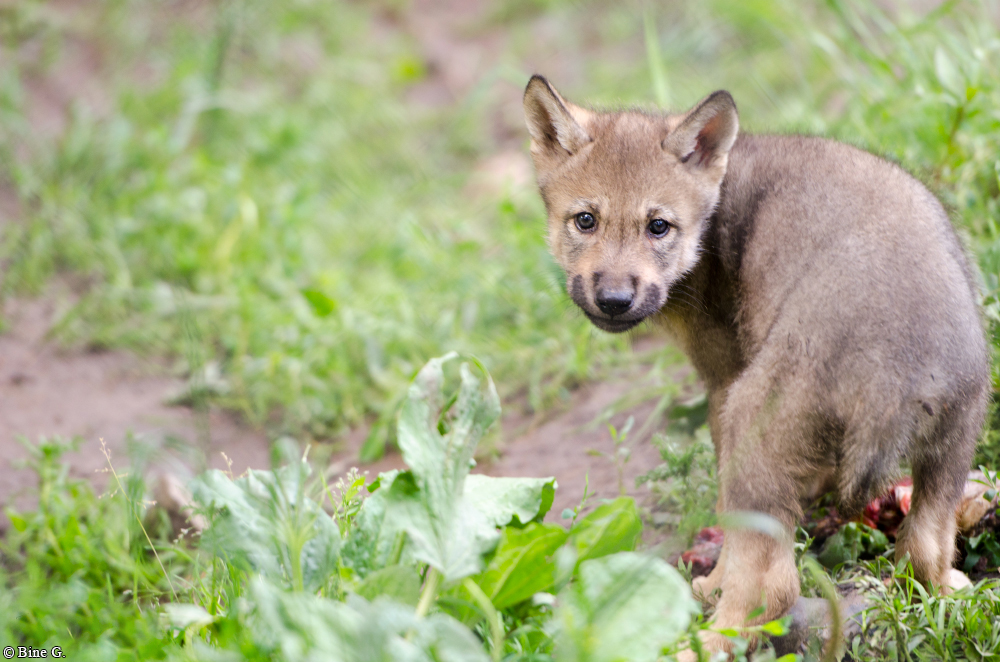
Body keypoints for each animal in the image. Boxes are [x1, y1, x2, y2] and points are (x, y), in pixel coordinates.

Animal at [522, 75, 989, 654]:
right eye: (585, 221)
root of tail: (896, 374)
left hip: (754, 421)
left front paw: (712, 583)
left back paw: (701, 644)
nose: (612, 300)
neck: (713, 221)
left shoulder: (723, 383)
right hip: (953, 449)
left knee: (775, 588)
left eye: (659, 226)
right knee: (924, 556)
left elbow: (727, 515)